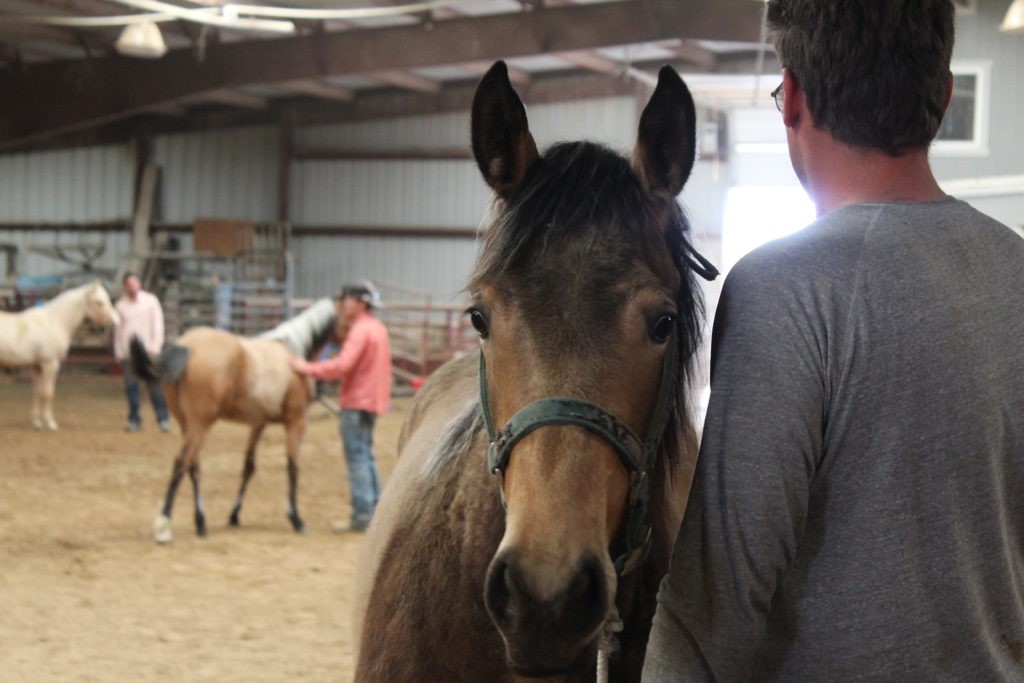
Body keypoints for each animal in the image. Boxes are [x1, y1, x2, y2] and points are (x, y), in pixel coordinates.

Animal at [0, 278, 120, 430]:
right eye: (99, 302)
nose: (116, 322)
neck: (55, 321)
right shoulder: (50, 364)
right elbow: (48, 393)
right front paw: (50, 423)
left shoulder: (36, 366)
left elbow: (37, 392)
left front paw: (36, 422)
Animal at [128, 299, 339, 544]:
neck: (294, 351)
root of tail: (188, 345)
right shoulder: (297, 421)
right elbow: (293, 467)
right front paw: (296, 518)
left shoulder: (258, 424)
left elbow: (248, 467)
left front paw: (234, 514)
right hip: (200, 426)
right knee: (181, 464)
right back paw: (164, 526)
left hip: (187, 425)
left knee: (193, 466)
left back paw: (201, 523)